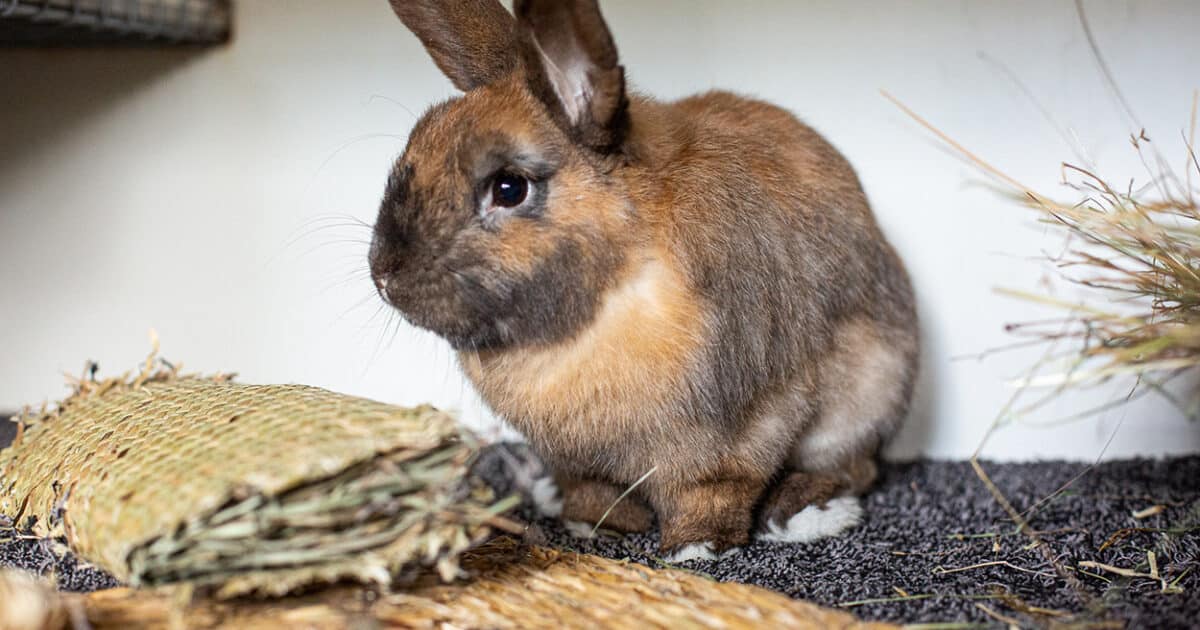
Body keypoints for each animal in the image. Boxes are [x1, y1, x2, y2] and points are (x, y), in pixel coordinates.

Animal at [369, 0, 919, 561]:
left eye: (509, 187)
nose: (384, 275)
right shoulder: (576, 458)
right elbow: (590, 490)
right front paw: (594, 525)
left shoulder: (735, 437)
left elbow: (712, 494)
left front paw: (693, 550)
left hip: (864, 395)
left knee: (855, 469)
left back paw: (801, 511)